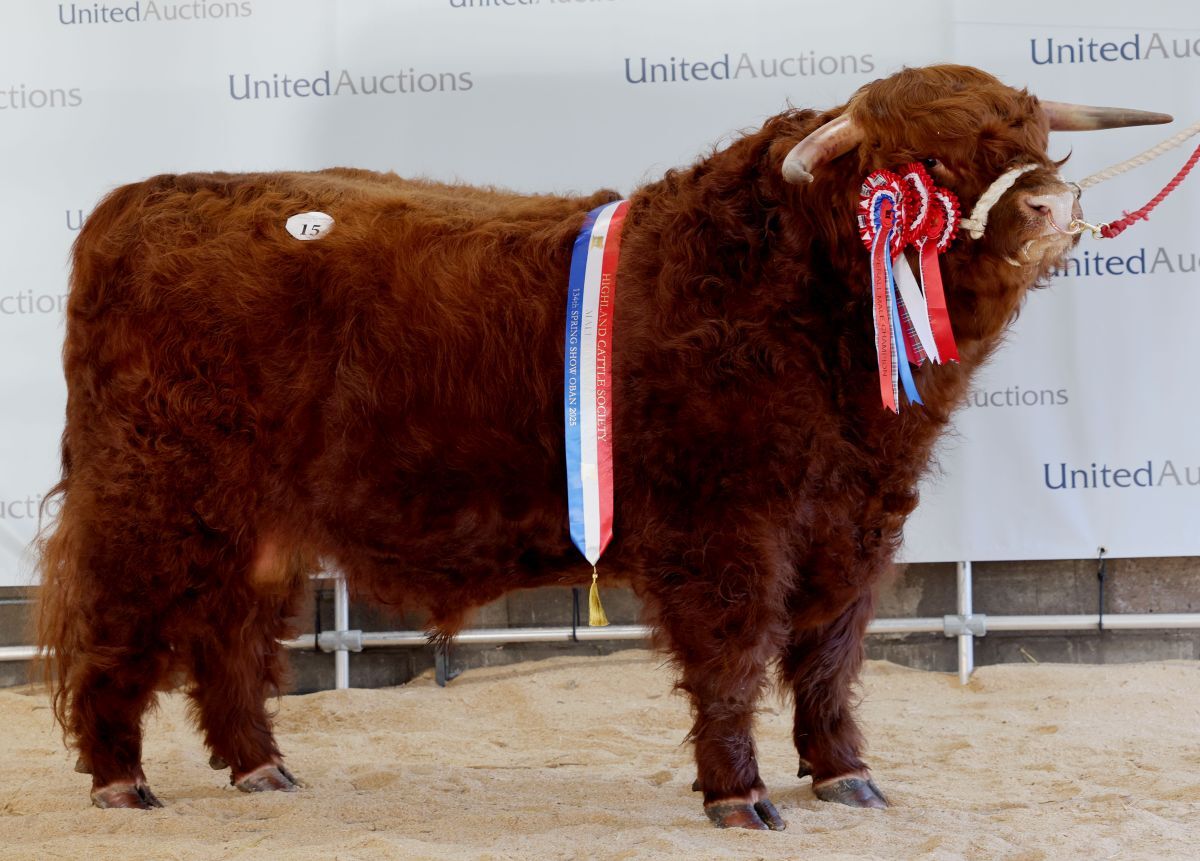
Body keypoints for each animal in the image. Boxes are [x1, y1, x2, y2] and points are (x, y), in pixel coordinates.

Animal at [36, 64, 1169, 829]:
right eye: (926, 161)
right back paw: (120, 779)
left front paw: (844, 772)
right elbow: (737, 653)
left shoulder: (857, 525)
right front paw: (740, 793)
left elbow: (829, 656)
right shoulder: (728, 526)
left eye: (1031, 133)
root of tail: (142, 198)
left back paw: (260, 767)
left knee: (231, 638)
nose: (1053, 205)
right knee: (117, 631)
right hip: (149, 499)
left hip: (256, 526)